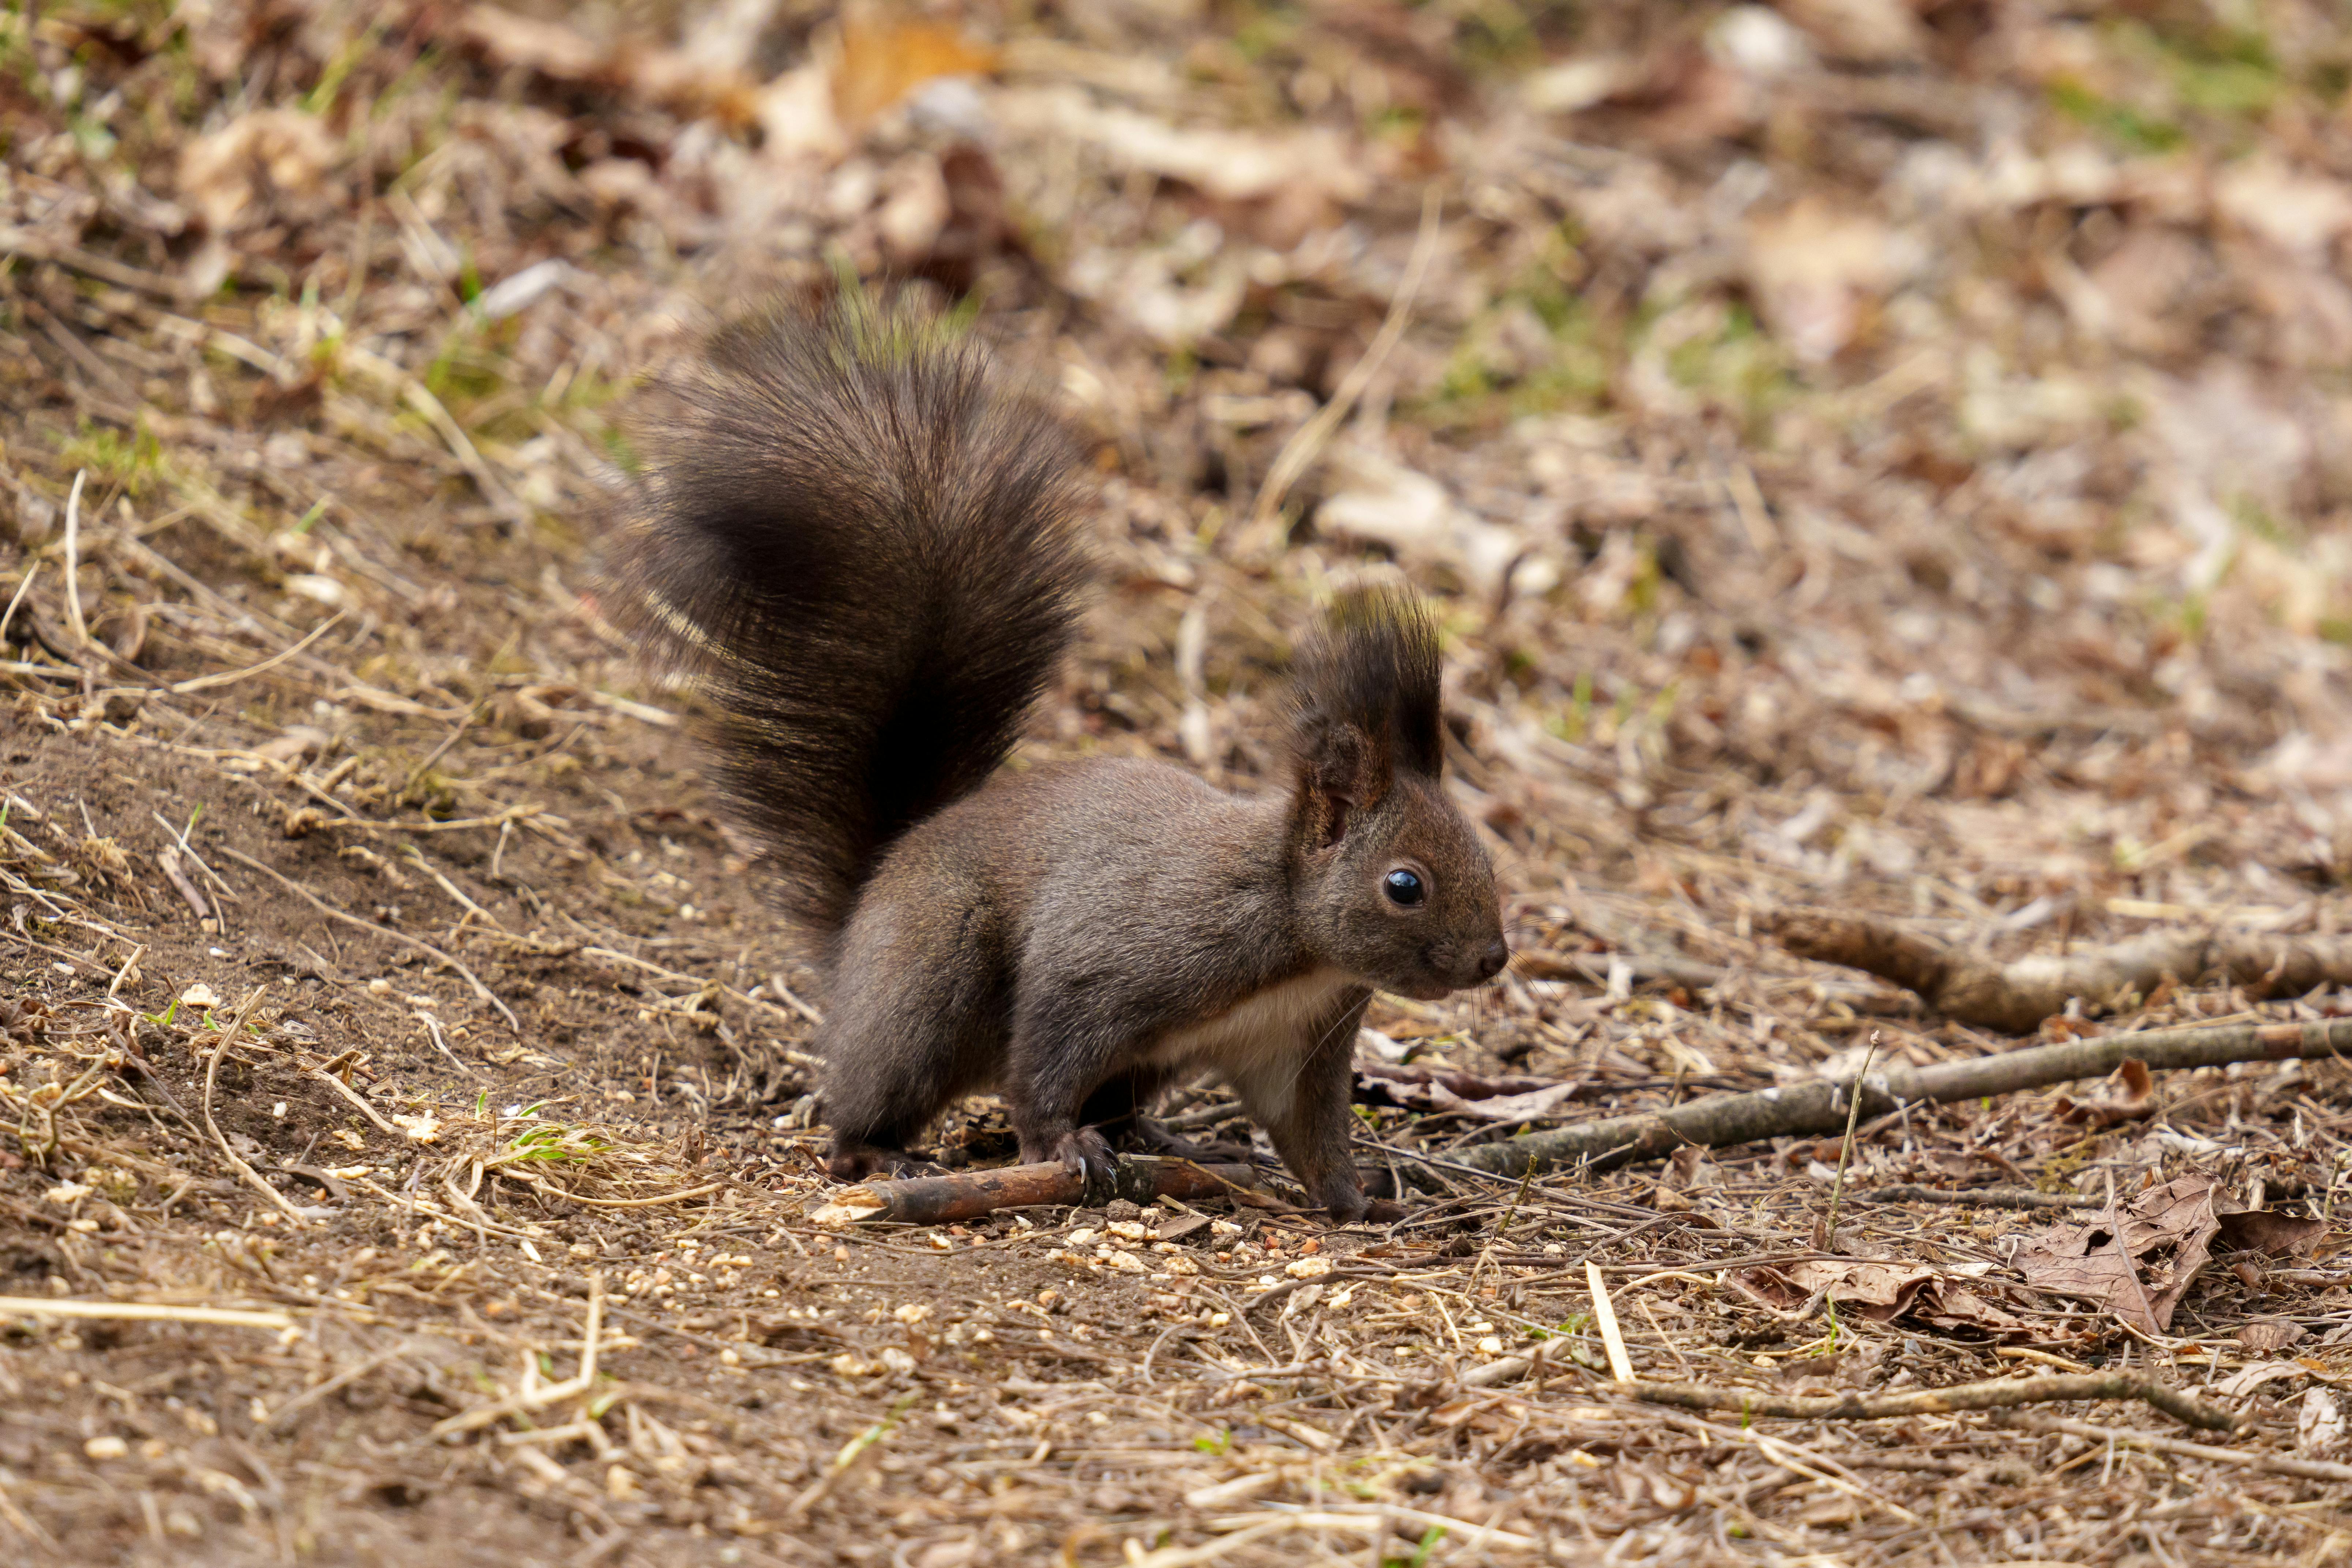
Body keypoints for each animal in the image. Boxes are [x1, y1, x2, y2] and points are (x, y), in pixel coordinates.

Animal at [608, 303, 1509, 1222]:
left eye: (1484, 856)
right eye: (1403, 885)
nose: (1491, 960)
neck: (1292, 936)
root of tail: (868, 902)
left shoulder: (1303, 1041)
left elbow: (1311, 1135)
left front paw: (1366, 1204)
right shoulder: (1112, 962)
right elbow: (1045, 1061)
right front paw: (1057, 1147)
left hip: (1143, 1057)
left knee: (1120, 1101)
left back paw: (1172, 1143)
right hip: (929, 983)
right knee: (872, 1098)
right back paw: (886, 1150)